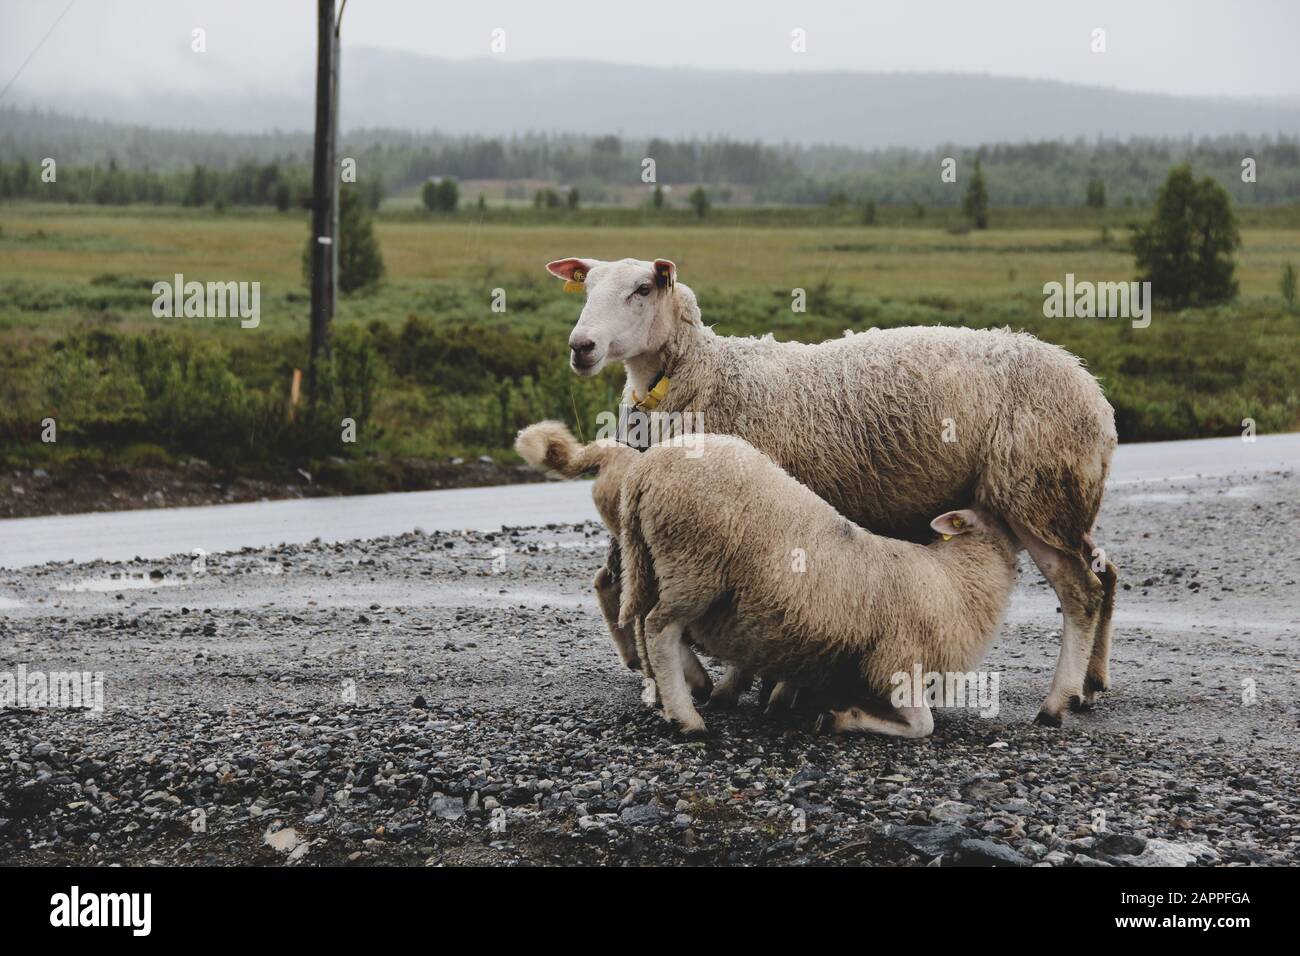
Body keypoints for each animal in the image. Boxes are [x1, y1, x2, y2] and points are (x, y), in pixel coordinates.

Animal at [615, 433, 1020, 738]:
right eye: (1000, 515)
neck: (954, 576)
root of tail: (644, 471)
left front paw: (783, 701)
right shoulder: (896, 661)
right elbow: (923, 725)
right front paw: (840, 719)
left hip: (651, 560)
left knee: (643, 622)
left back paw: (677, 691)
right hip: (693, 560)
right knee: (660, 629)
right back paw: (687, 717)